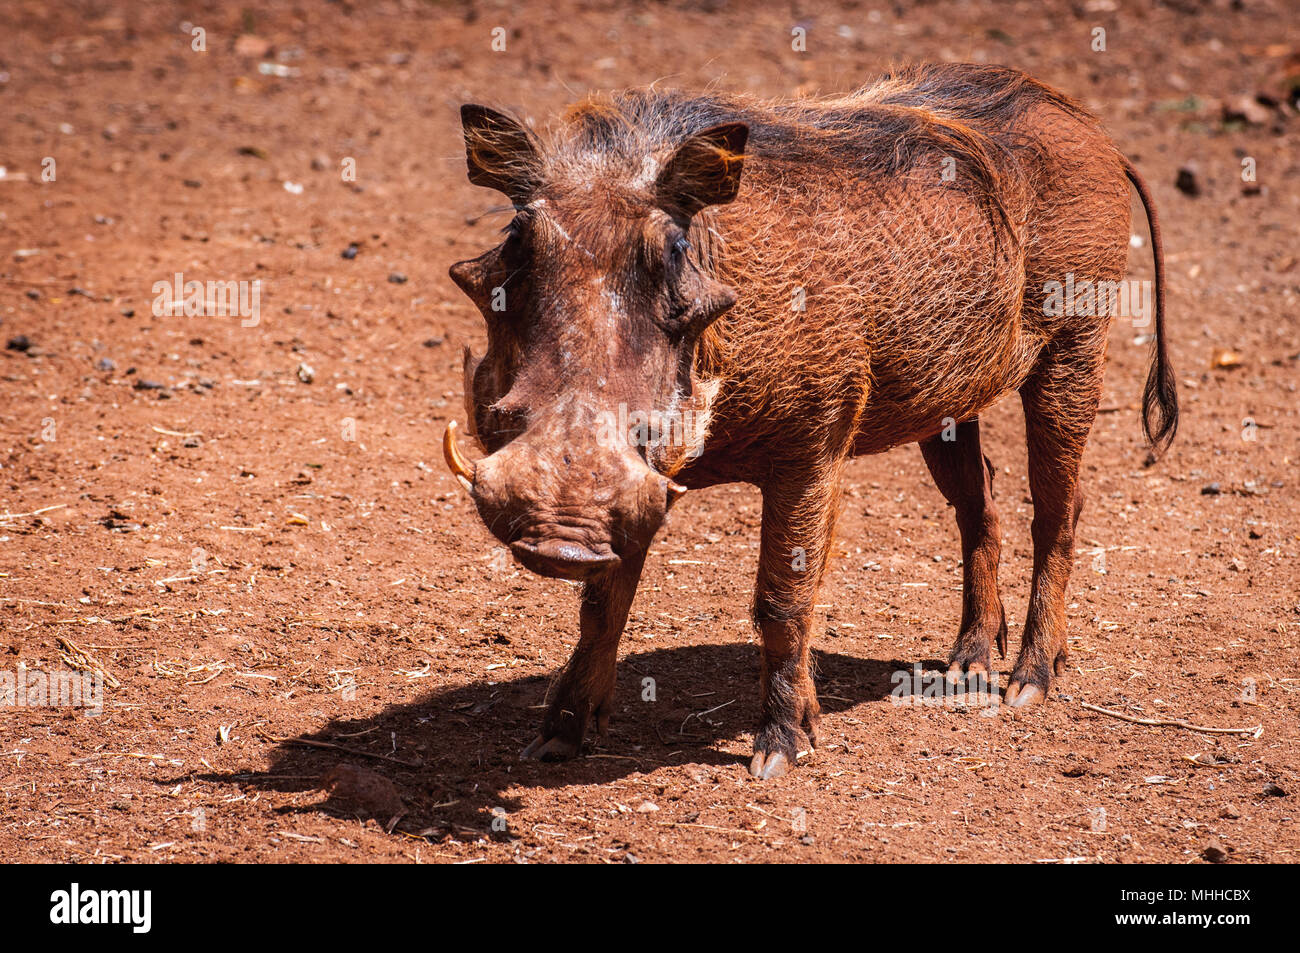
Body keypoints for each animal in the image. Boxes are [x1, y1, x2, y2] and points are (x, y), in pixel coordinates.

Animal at [444, 63, 1177, 779]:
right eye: (517, 239)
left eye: (674, 249)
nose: (557, 538)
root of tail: (1088, 126)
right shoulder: (639, 484)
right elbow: (602, 602)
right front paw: (558, 738)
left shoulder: (812, 446)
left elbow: (782, 598)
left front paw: (781, 747)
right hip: (947, 402)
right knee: (983, 507)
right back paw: (967, 664)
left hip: (1076, 347)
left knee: (1058, 509)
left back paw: (1030, 679)